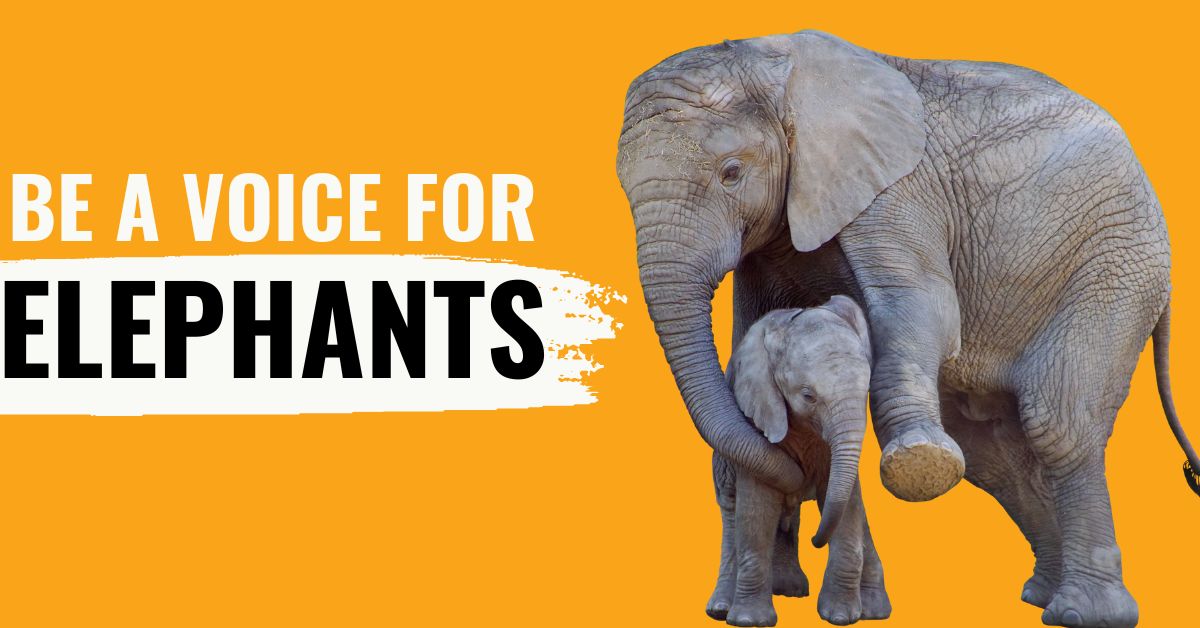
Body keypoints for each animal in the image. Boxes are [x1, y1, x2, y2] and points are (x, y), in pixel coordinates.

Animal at [711, 297, 890, 626]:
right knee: (731, 509)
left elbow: (844, 501)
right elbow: (756, 505)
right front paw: (750, 620)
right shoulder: (754, 416)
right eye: (808, 396)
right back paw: (721, 608)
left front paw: (840, 615)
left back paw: (871, 611)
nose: (814, 540)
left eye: (867, 390)